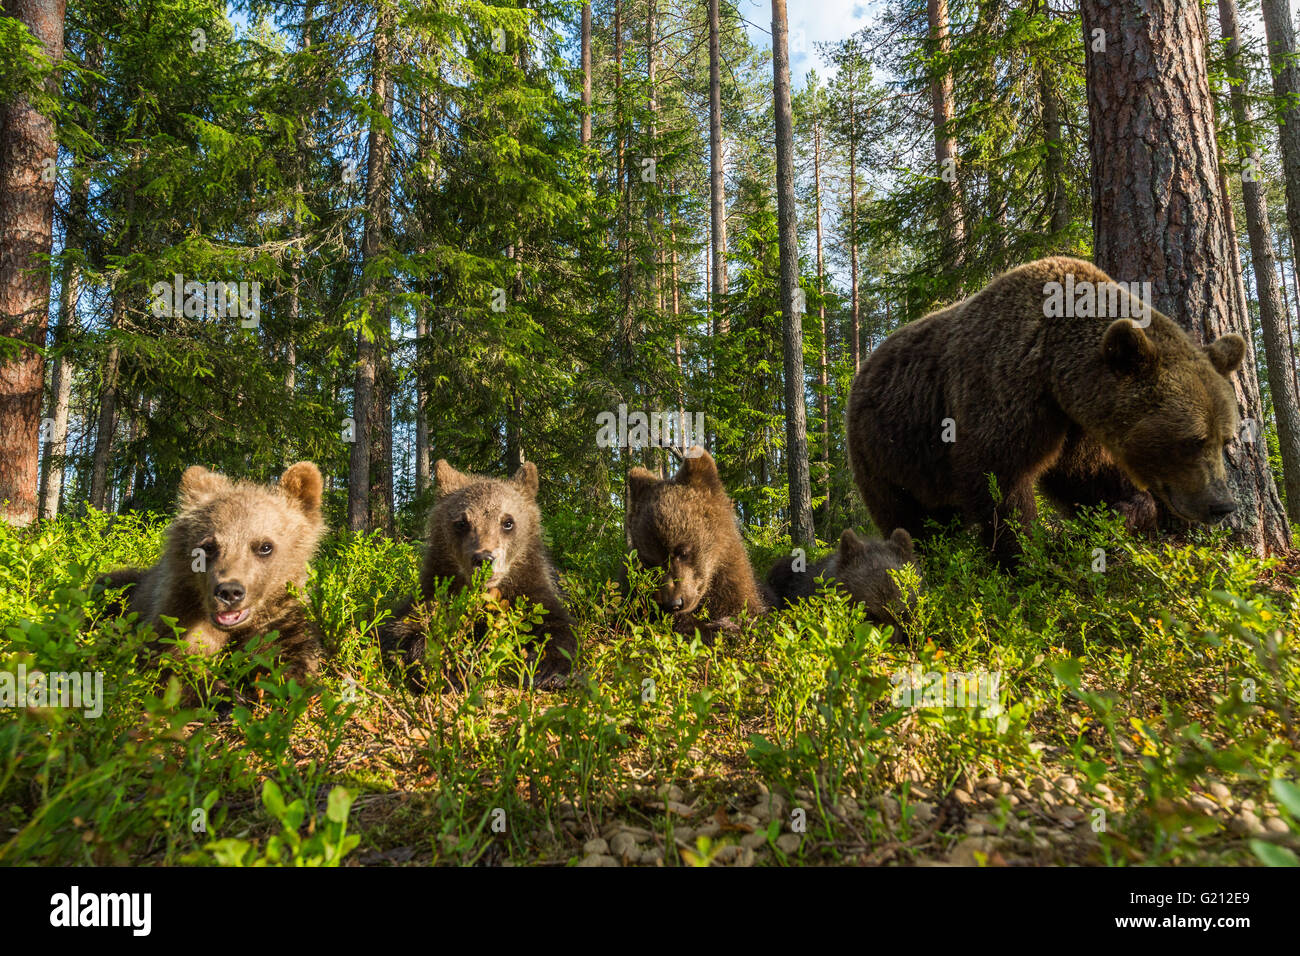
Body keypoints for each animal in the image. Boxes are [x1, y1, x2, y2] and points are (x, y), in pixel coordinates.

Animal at [95, 462, 326, 701]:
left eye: (265, 546)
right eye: (208, 546)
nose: (230, 592)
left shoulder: (280, 618)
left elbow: (291, 655)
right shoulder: (180, 613)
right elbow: (171, 661)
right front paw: (227, 698)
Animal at [379, 460, 576, 691]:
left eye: (508, 522)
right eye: (462, 522)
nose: (484, 558)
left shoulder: (530, 586)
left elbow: (556, 624)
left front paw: (547, 669)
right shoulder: (435, 590)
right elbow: (405, 629)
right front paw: (452, 671)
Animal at [847, 256, 1247, 566]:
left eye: (1225, 438)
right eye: (1192, 440)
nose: (1222, 505)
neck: (1054, 369)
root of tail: (864, 367)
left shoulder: (1075, 425)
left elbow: (1085, 476)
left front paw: (1119, 512)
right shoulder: (1004, 392)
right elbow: (999, 480)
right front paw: (1026, 555)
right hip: (885, 454)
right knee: (905, 516)